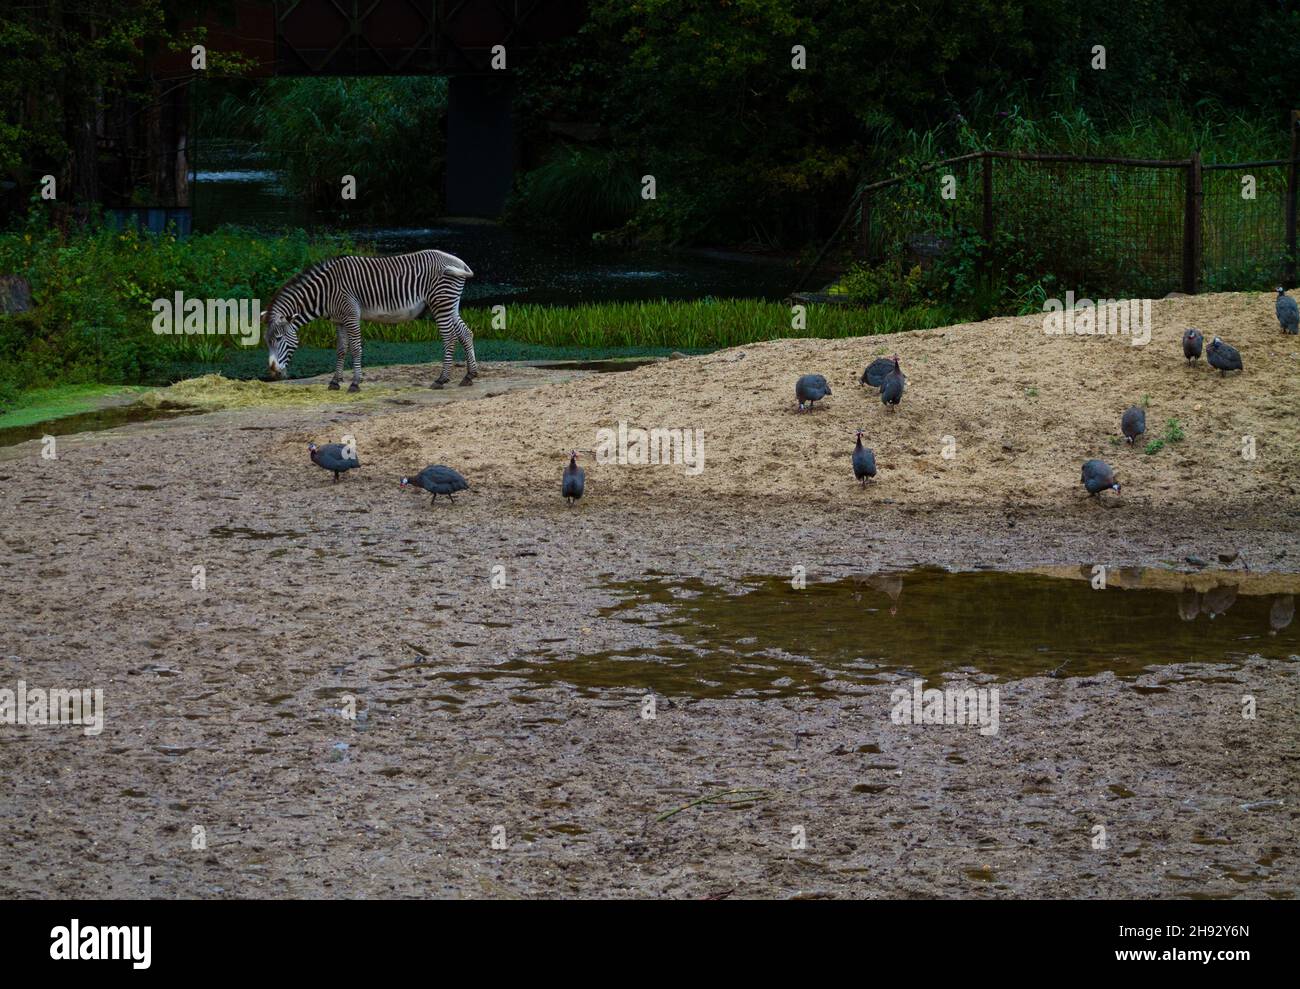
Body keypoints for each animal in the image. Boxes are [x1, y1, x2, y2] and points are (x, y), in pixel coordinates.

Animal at [263, 249, 479, 390]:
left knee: (449, 338)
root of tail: (458, 262)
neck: (324, 292)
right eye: (267, 341)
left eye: (279, 339)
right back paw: (469, 376)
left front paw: (355, 383)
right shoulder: (338, 320)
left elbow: (356, 348)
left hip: (440, 303)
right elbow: (341, 350)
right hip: (450, 304)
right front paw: (335, 381)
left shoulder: (351, 315)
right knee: (465, 333)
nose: (273, 373)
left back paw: (442, 379)